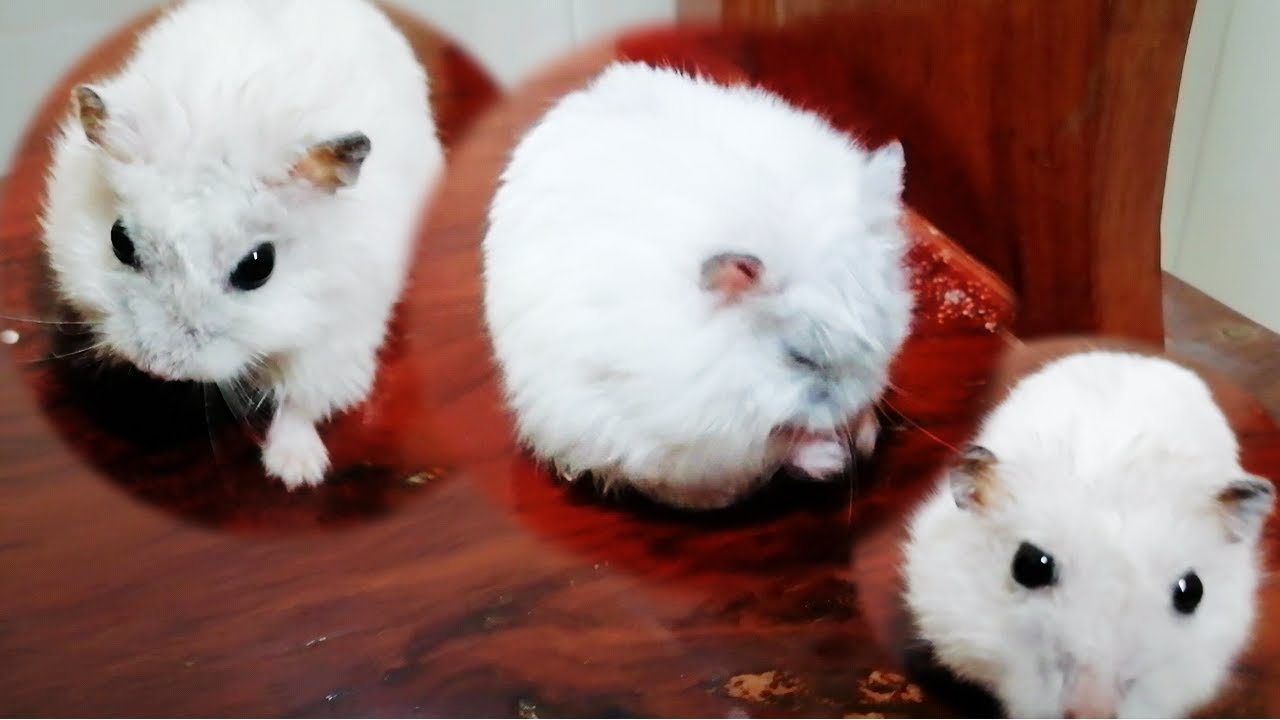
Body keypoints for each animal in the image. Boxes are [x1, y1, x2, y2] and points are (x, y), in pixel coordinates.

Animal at [40, 0, 444, 488]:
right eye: (118, 240)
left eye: (258, 267)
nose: (158, 367)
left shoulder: (335, 340)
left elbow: (300, 404)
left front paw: (296, 474)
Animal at [481, 61, 913, 510]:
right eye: (800, 358)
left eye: (883, 340)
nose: (857, 441)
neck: (728, 358)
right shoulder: (705, 437)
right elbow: (770, 448)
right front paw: (833, 456)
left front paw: (864, 434)